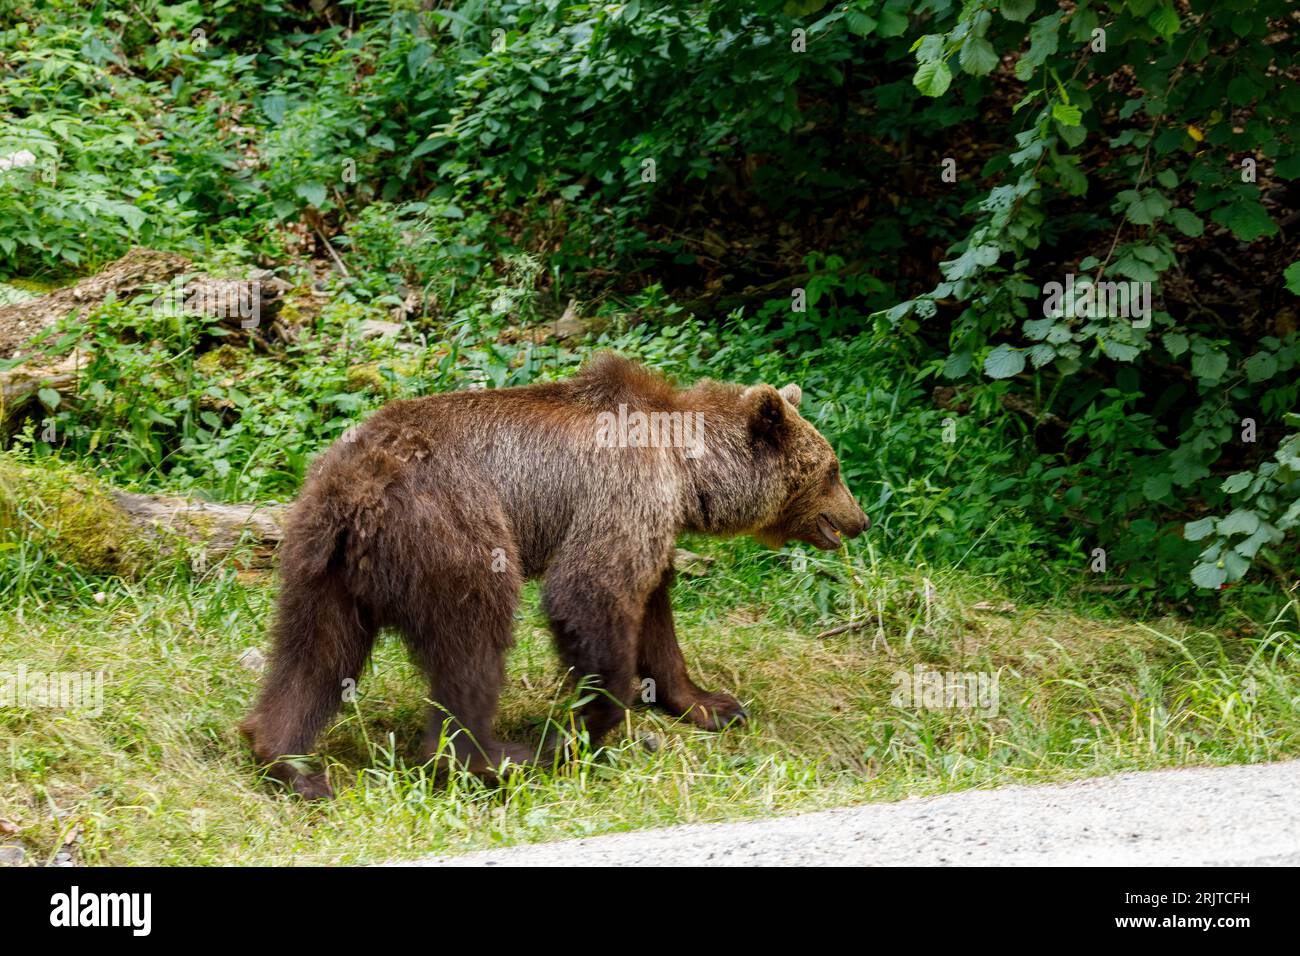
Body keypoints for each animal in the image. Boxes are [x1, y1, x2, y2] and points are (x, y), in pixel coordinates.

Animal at [240, 353, 868, 797]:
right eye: (833, 469)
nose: (858, 520)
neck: (690, 472)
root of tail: (357, 485)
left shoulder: (651, 522)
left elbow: (655, 611)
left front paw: (711, 703)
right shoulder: (621, 492)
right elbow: (589, 592)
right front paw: (589, 723)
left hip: (317, 556)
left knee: (315, 652)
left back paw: (288, 762)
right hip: (454, 526)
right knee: (473, 636)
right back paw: (495, 758)